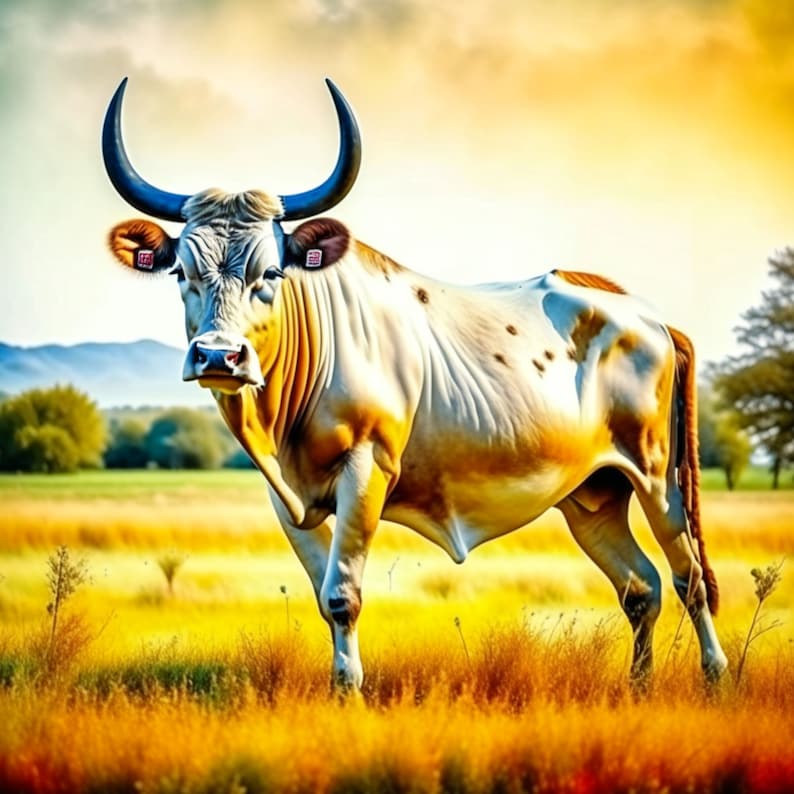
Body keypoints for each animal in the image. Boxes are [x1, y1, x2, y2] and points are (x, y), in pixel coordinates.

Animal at [102, 77, 728, 692]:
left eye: (272, 272)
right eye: (181, 272)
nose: (218, 355)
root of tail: (647, 318)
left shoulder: (366, 470)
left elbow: (342, 594)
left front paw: (349, 689)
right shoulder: (286, 498)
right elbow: (322, 594)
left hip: (658, 479)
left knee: (689, 576)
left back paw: (715, 674)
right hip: (592, 495)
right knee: (640, 588)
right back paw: (639, 685)